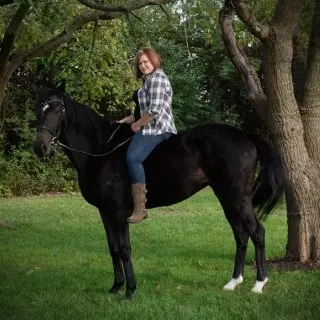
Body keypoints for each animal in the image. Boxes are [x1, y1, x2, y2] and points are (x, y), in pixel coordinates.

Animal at [33, 87, 284, 298]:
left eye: (58, 109)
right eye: (38, 109)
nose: (40, 147)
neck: (102, 151)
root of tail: (245, 136)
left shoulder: (119, 211)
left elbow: (125, 249)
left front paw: (130, 290)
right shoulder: (105, 212)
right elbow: (113, 248)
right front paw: (116, 286)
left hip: (238, 198)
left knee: (257, 232)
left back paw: (259, 283)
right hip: (227, 198)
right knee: (241, 234)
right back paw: (233, 282)